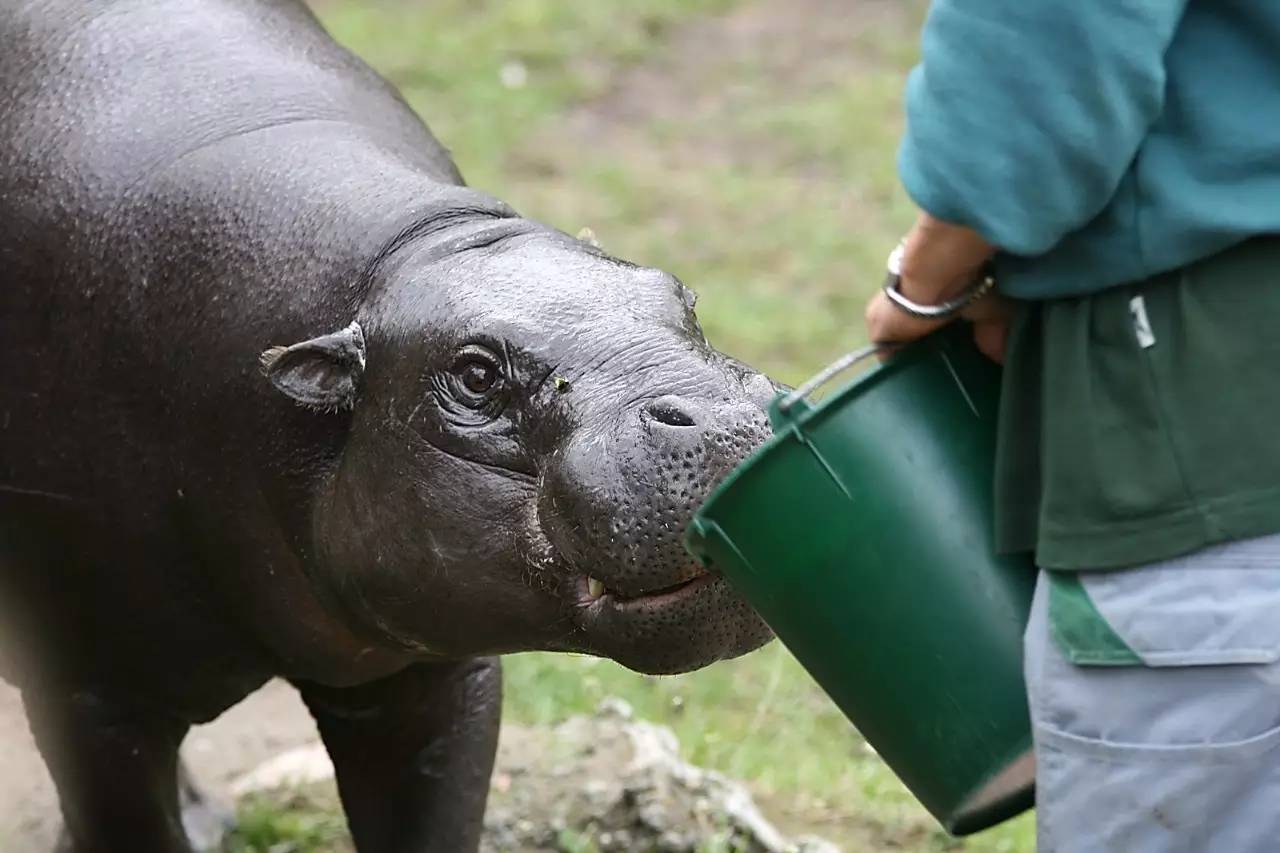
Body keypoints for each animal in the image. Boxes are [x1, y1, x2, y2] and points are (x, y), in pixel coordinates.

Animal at [0, 1, 777, 850]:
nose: (721, 418)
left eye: (680, 295)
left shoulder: (429, 665)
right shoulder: (91, 698)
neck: (395, 260)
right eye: (475, 374)